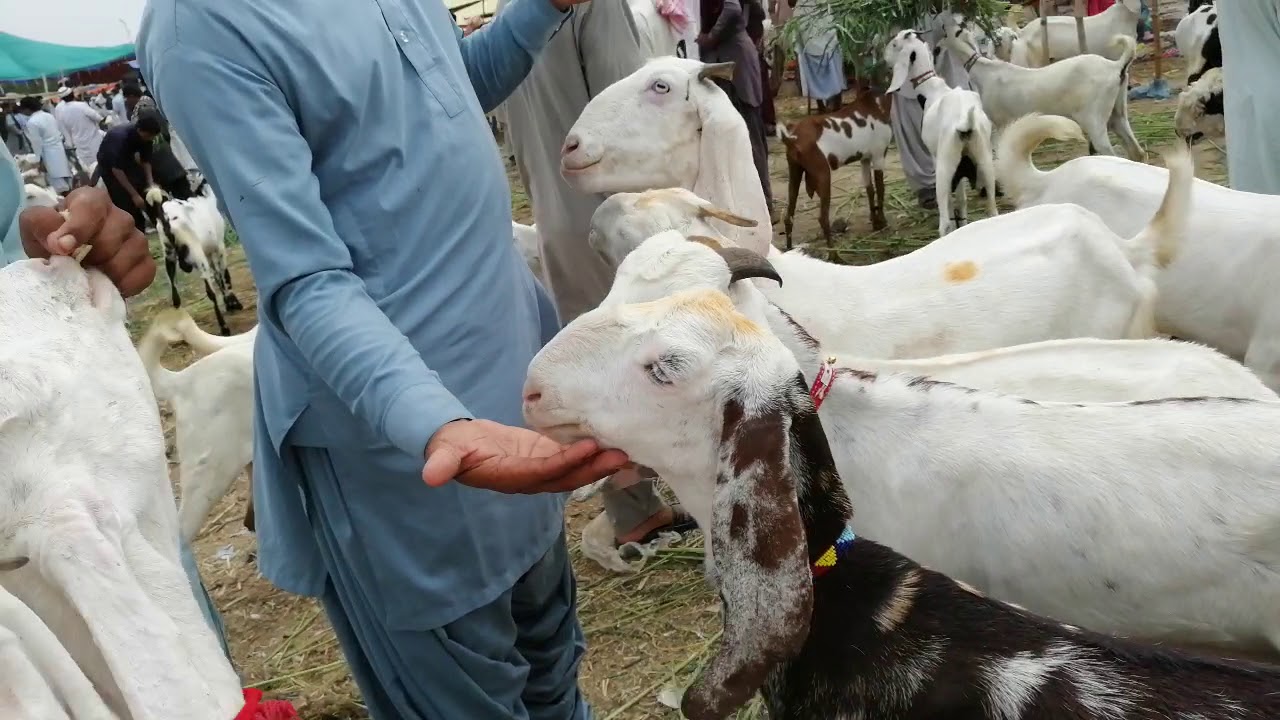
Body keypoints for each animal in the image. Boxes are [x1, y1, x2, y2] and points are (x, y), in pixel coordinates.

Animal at [778, 88, 893, 246]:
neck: (875, 104)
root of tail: (792, 139)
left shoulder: (865, 159)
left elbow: (870, 190)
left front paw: (875, 223)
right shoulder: (879, 156)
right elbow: (881, 189)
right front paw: (883, 222)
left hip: (795, 172)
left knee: (789, 217)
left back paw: (789, 248)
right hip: (823, 174)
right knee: (823, 218)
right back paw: (834, 251)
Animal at [886, 30, 998, 236]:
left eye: (895, 44)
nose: (884, 56)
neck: (931, 89)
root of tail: (965, 123)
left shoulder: (936, 156)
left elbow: (950, 206)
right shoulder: (960, 169)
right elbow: (961, 199)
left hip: (944, 168)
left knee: (943, 222)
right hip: (984, 161)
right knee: (993, 211)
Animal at [940, 17, 1144, 159]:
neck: (984, 70)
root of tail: (1116, 66)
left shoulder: (1001, 122)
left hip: (1093, 118)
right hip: (1117, 113)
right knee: (1137, 152)